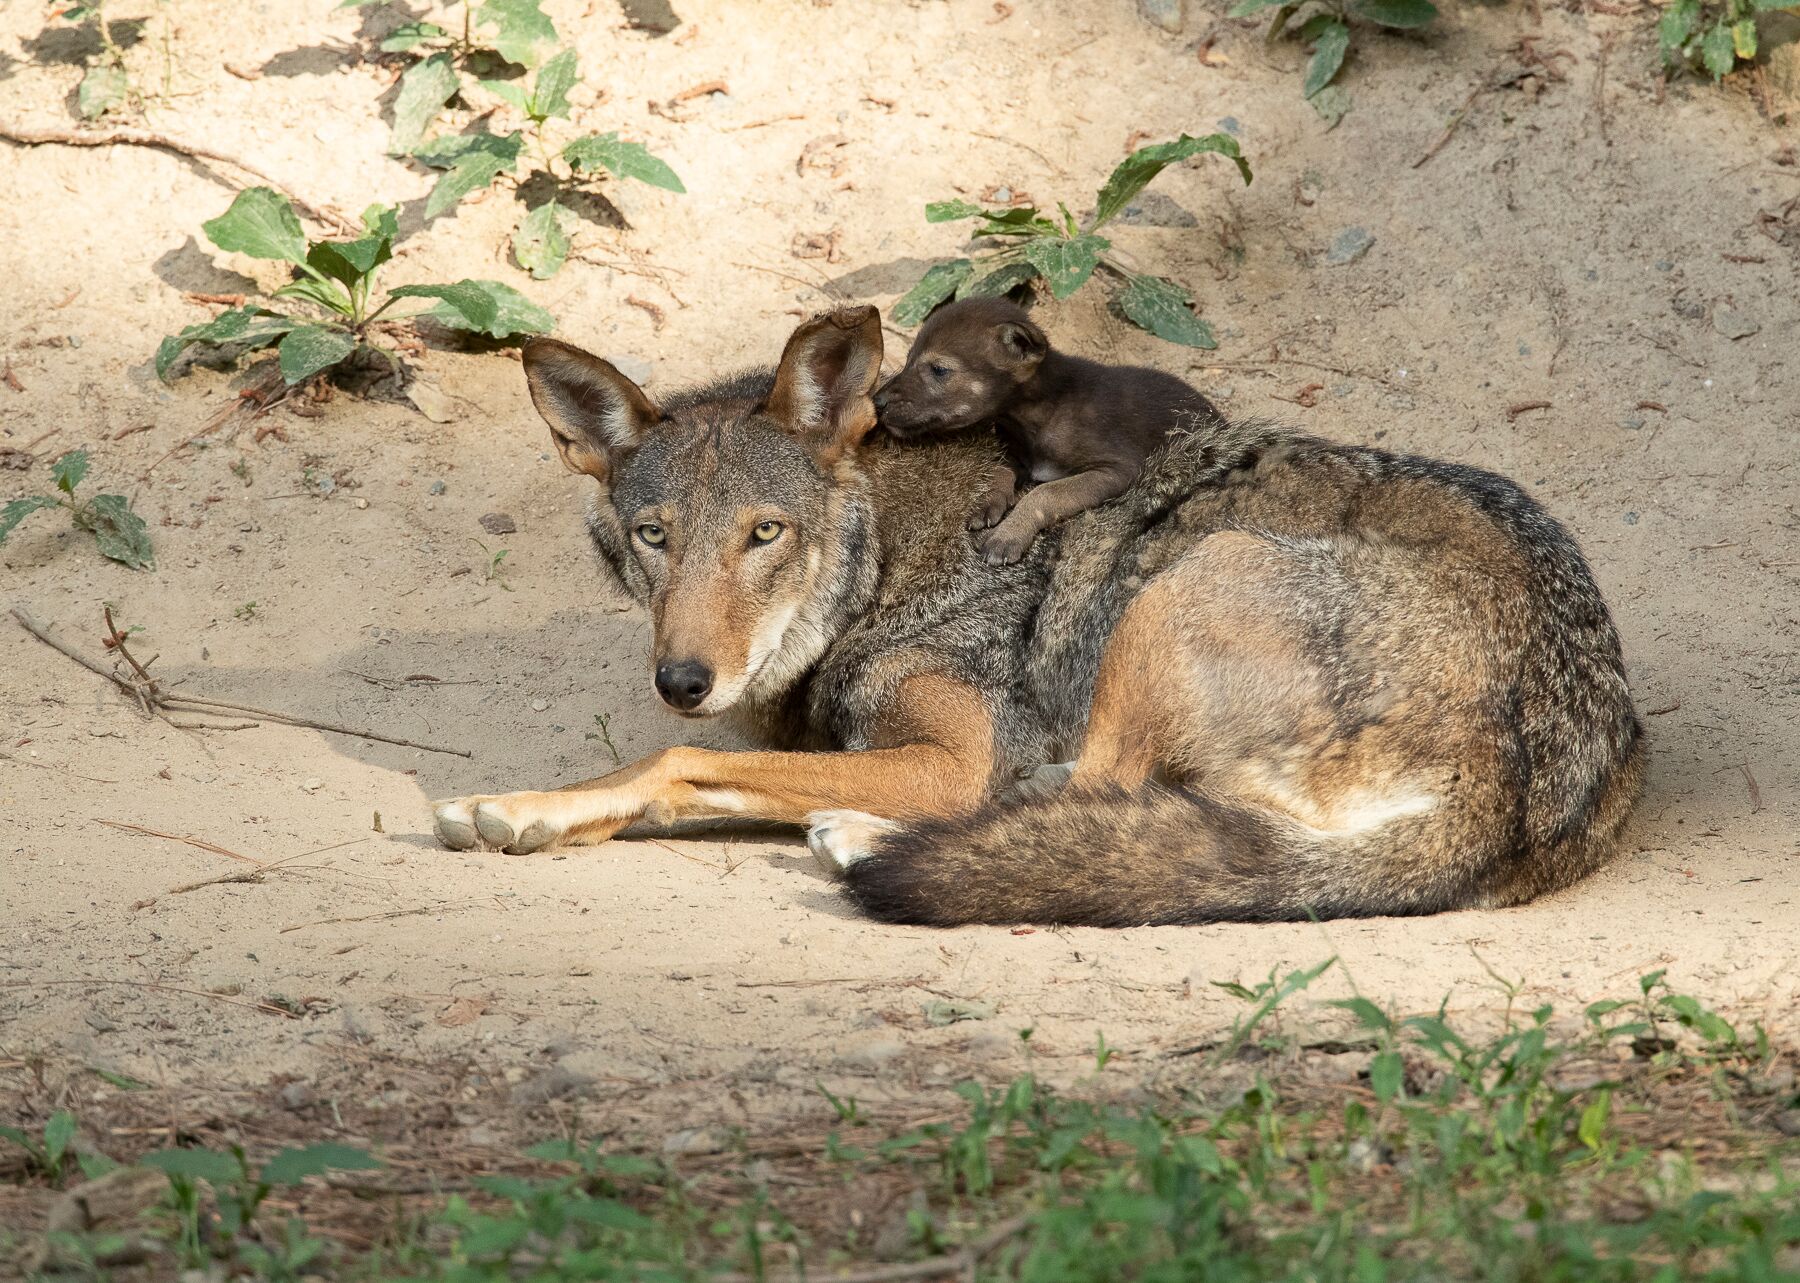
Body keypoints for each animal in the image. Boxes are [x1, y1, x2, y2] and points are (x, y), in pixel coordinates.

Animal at [431, 306, 1644, 927]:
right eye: (654, 537)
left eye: (764, 534)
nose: (684, 679)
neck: (893, 549)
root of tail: (1532, 773)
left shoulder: (951, 756)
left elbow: (676, 762)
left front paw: (528, 805)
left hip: (1184, 584)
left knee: (1093, 788)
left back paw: (875, 836)